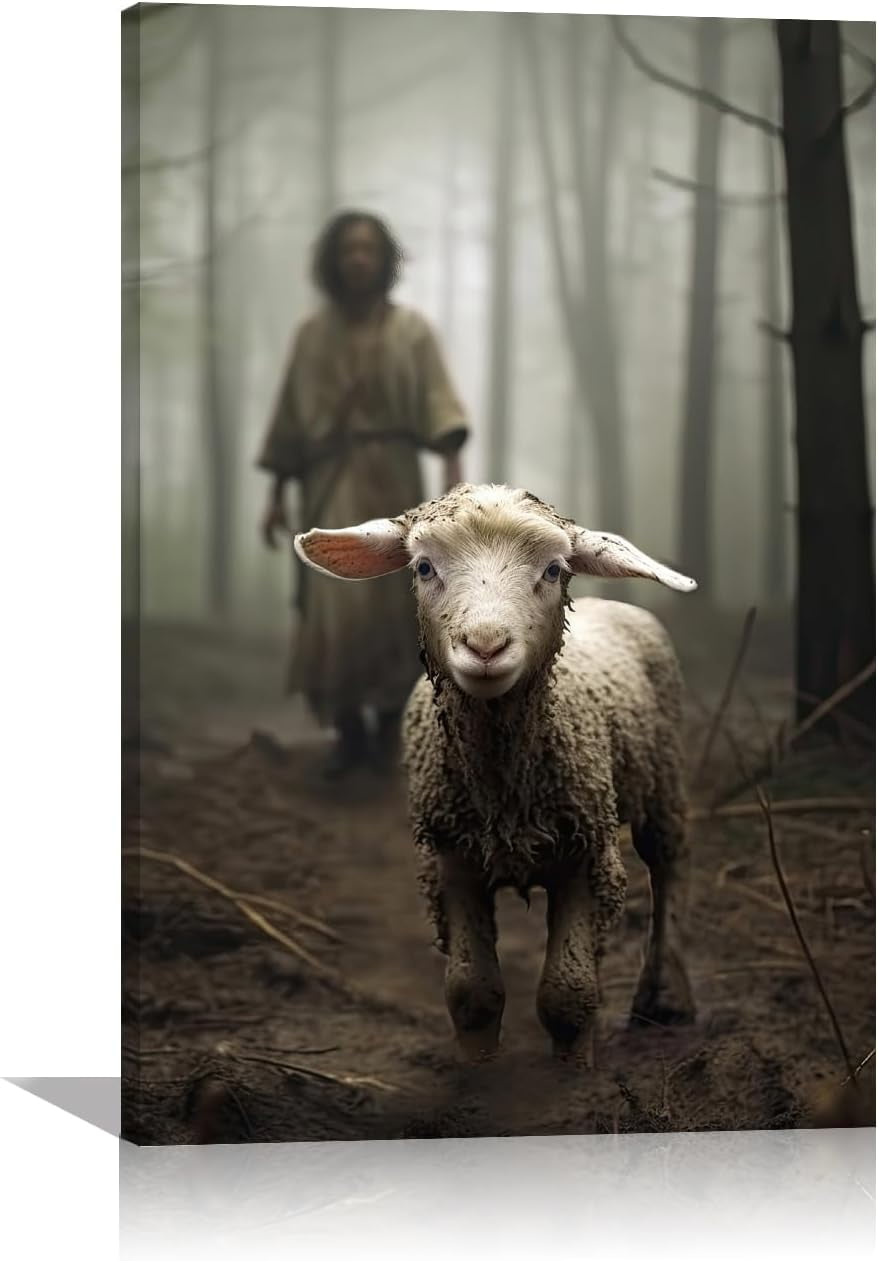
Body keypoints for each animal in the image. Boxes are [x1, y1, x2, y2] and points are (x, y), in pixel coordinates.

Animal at [294, 483, 698, 1065]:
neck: (503, 787)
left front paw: (576, 1072)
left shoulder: (586, 851)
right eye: (423, 567)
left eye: (553, 570)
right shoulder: (449, 857)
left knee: (671, 862)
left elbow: (568, 994)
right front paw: (481, 1072)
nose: (485, 646)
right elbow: (472, 993)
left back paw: (667, 997)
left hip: (664, 777)